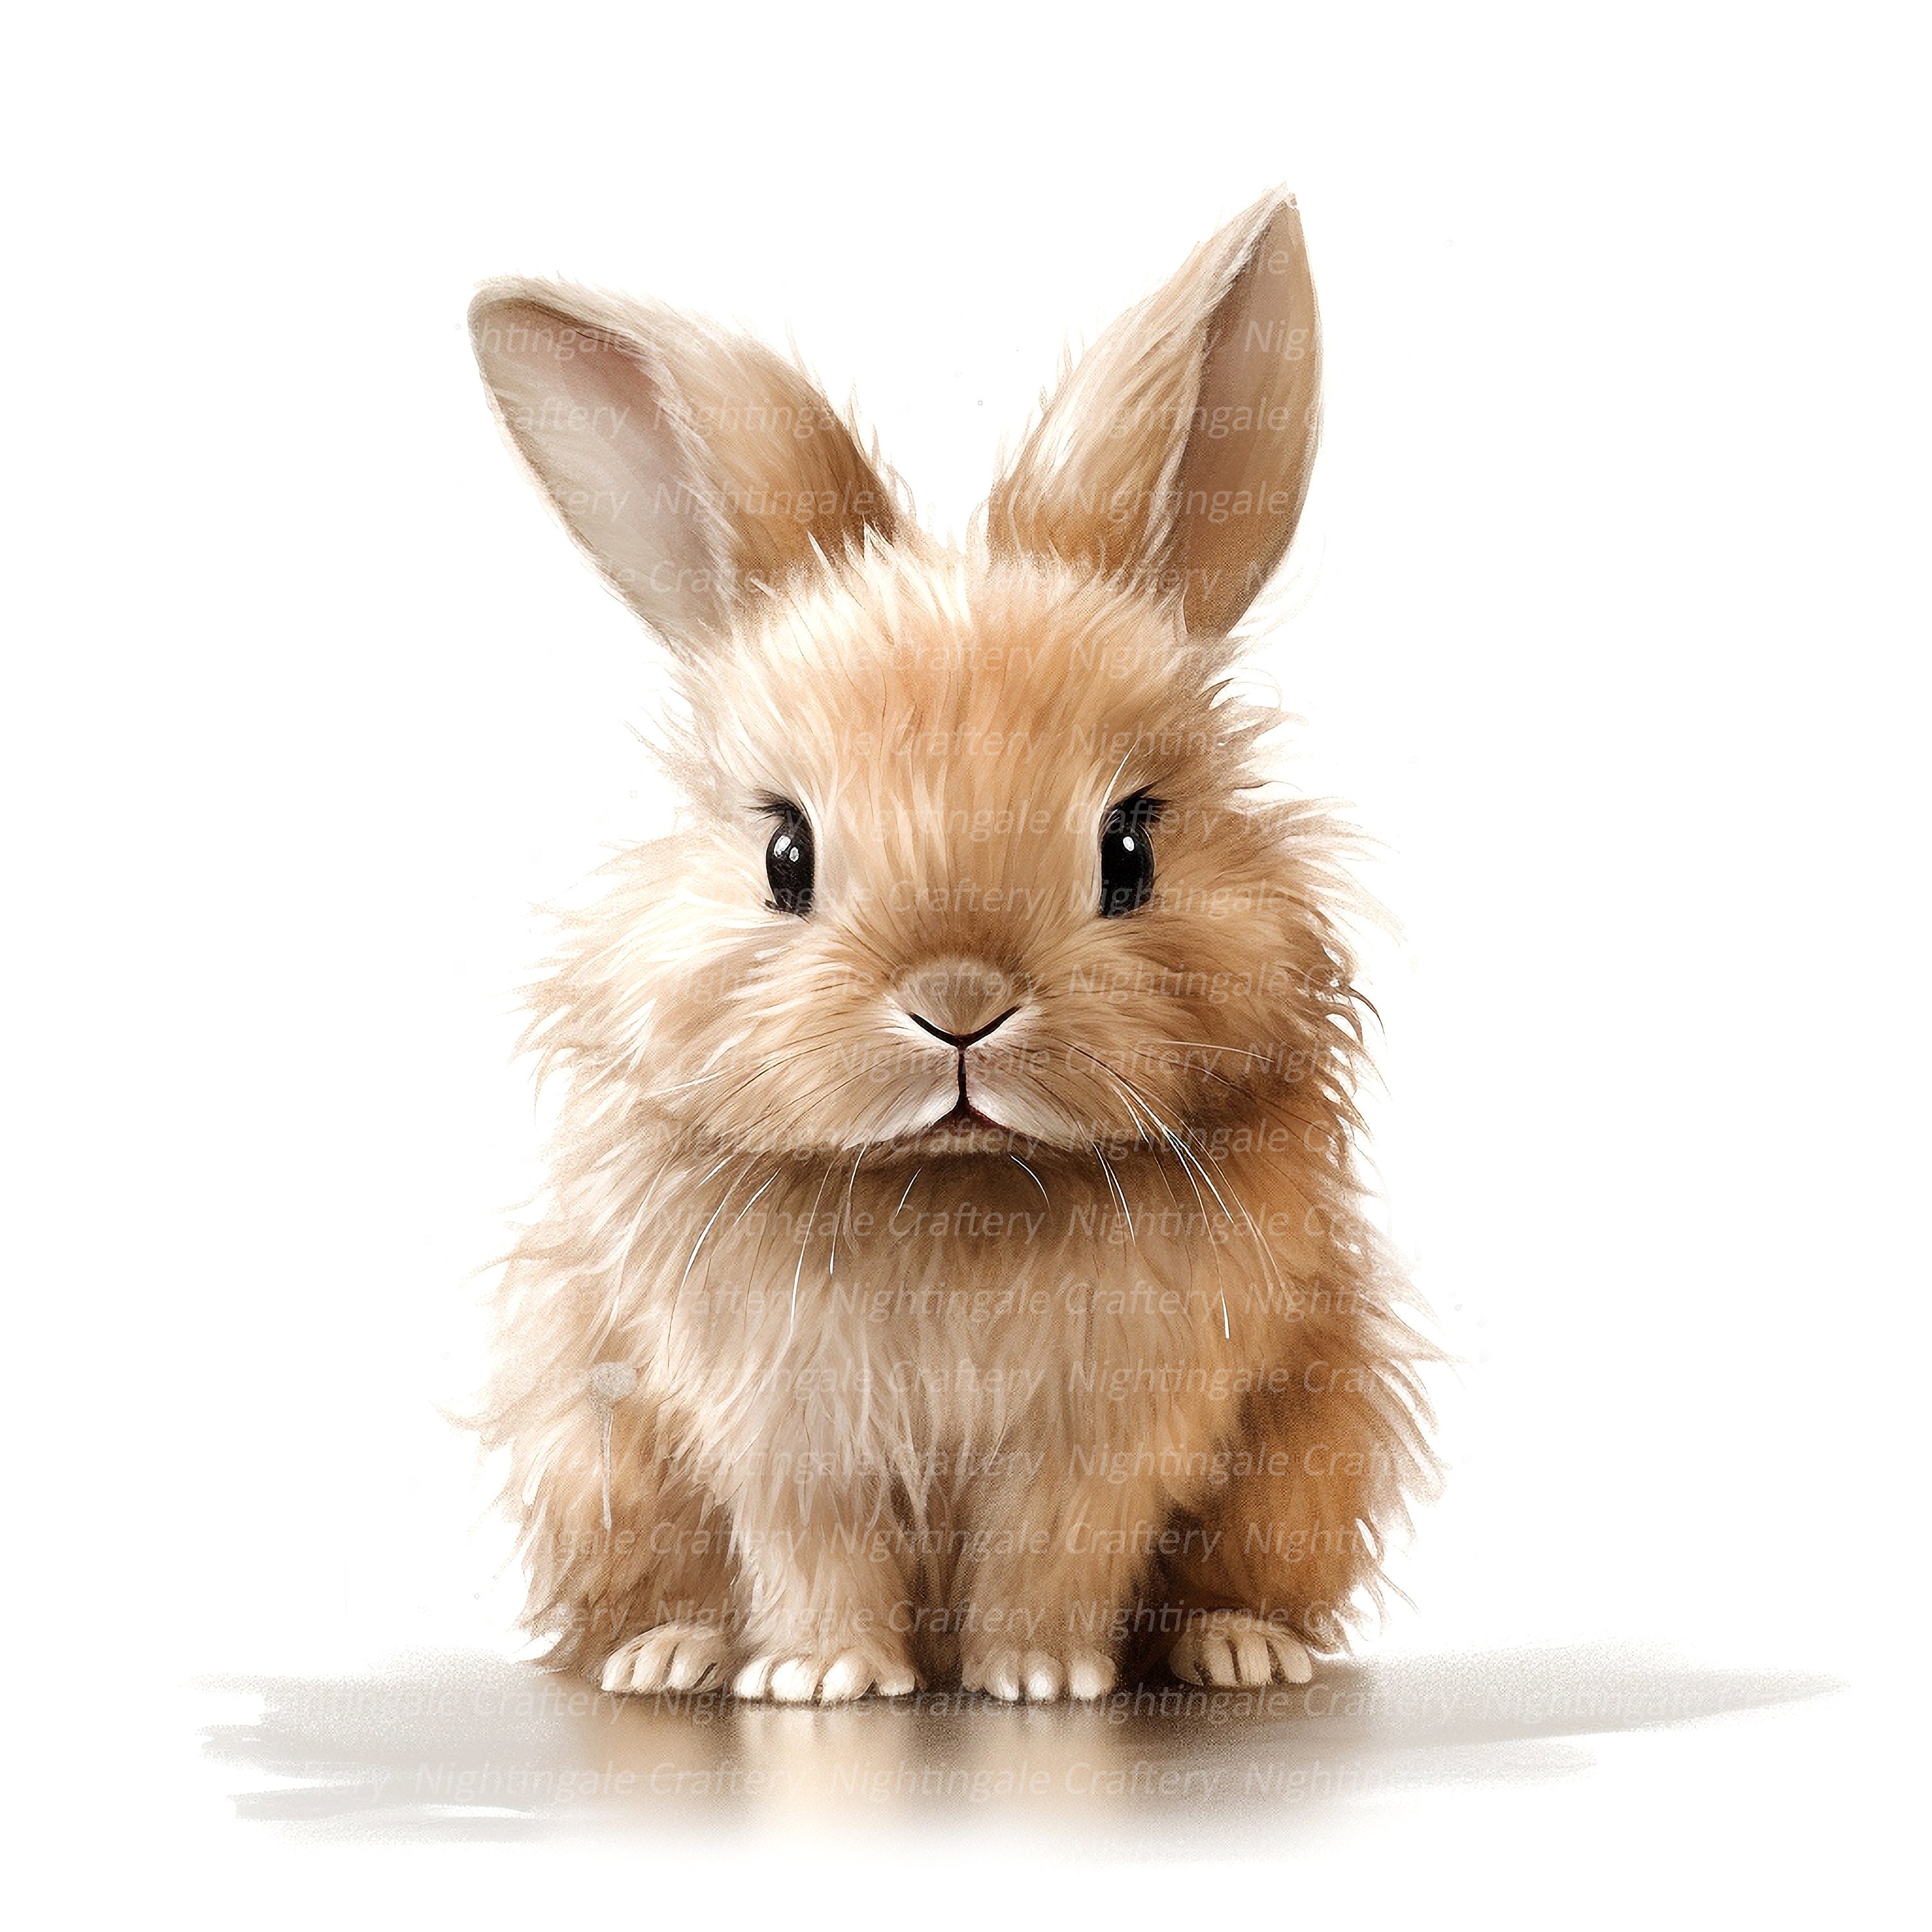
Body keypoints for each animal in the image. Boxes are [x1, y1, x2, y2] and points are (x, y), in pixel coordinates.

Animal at [467, 189, 1438, 1705]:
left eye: (1130, 851)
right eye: (785, 856)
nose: (960, 1005)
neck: (957, 1185)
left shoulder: (1106, 1436)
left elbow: (1057, 1549)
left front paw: (1036, 1676)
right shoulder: (782, 1433)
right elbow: (813, 1548)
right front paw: (822, 1679)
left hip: (1307, 1457)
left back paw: (1242, 1649)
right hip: (594, 1459)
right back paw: (671, 1656)